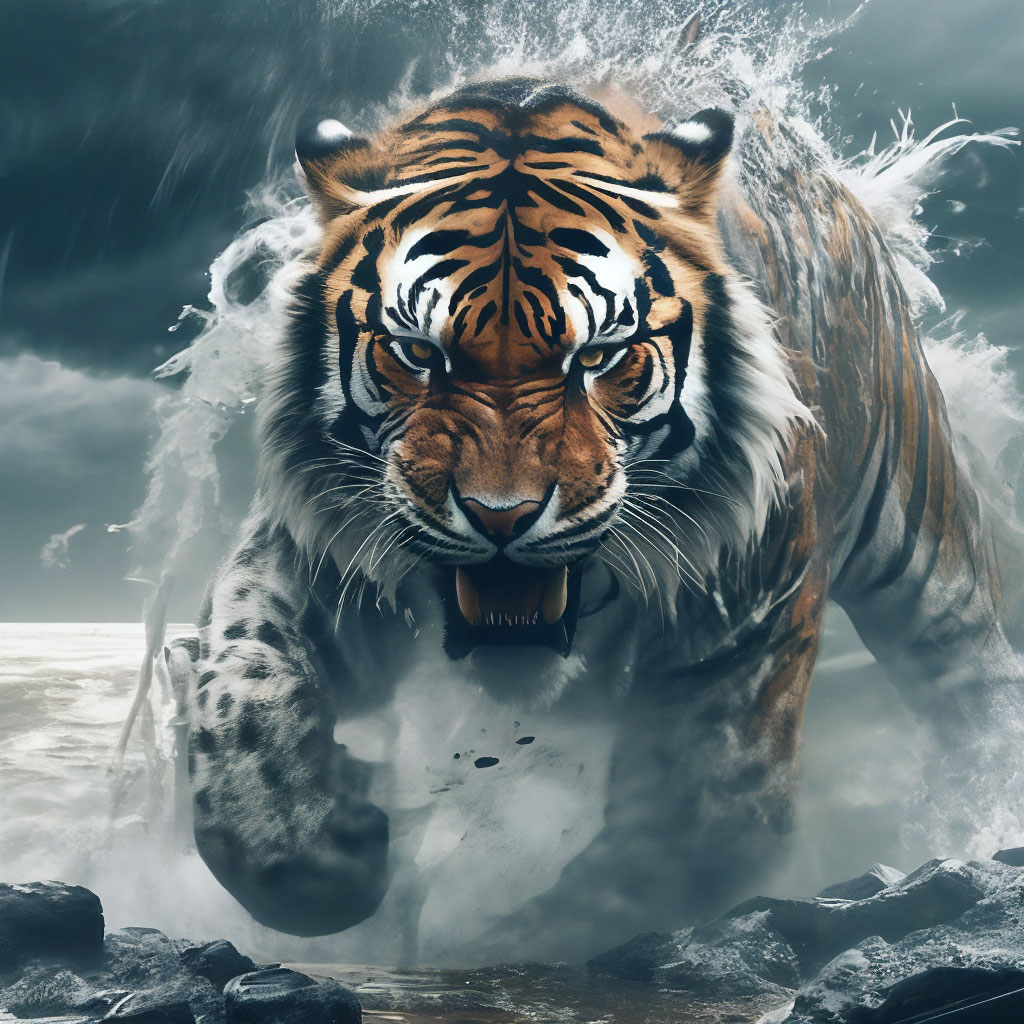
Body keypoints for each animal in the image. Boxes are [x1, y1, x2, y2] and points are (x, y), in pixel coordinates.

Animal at [183, 75, 1023, 963]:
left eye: (597, 358)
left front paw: (478, 939)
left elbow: (665, 851)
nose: (501, 517)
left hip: (923, 549)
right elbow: (240, 696)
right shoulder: (320, 558)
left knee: (975, 680)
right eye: (418, 353)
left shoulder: (736, 659)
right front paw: (329, 841)